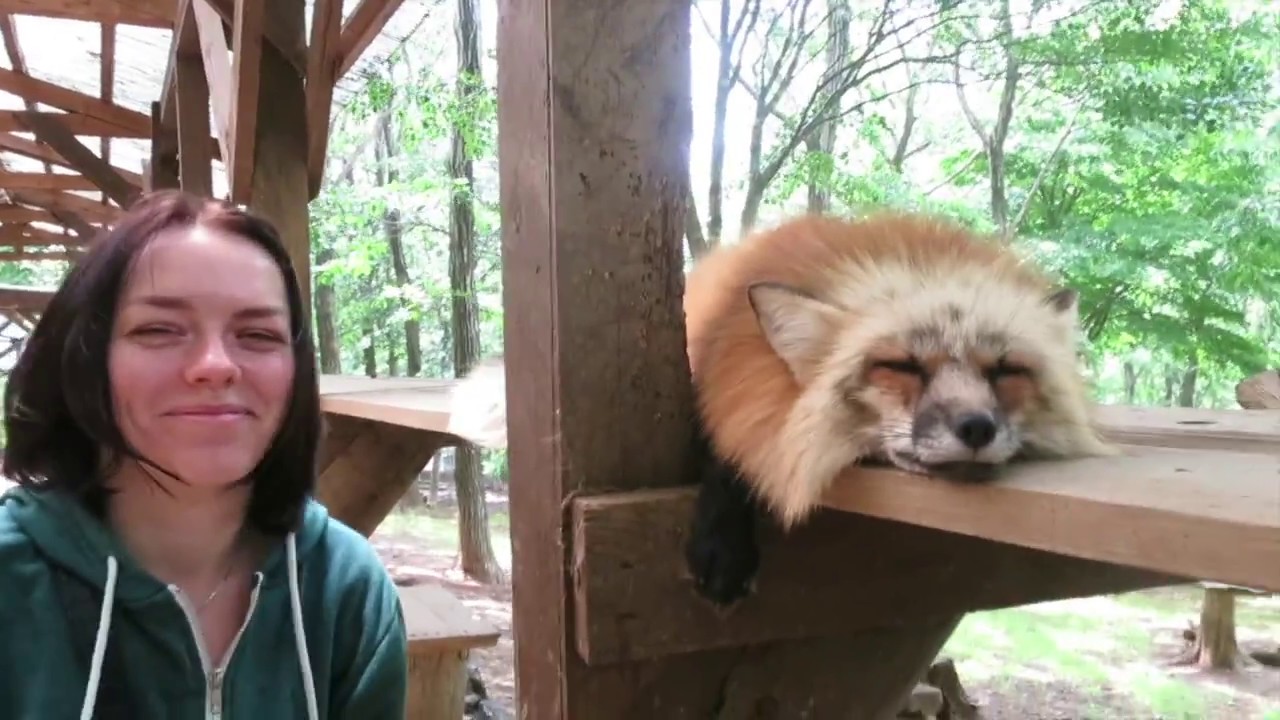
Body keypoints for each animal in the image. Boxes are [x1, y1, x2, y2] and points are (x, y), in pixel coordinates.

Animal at [447, 211, 1115, 606]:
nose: (976, 427)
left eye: (1007, 371)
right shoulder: (722, 388)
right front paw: (723, 547)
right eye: (900, 366)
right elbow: (730, 453)